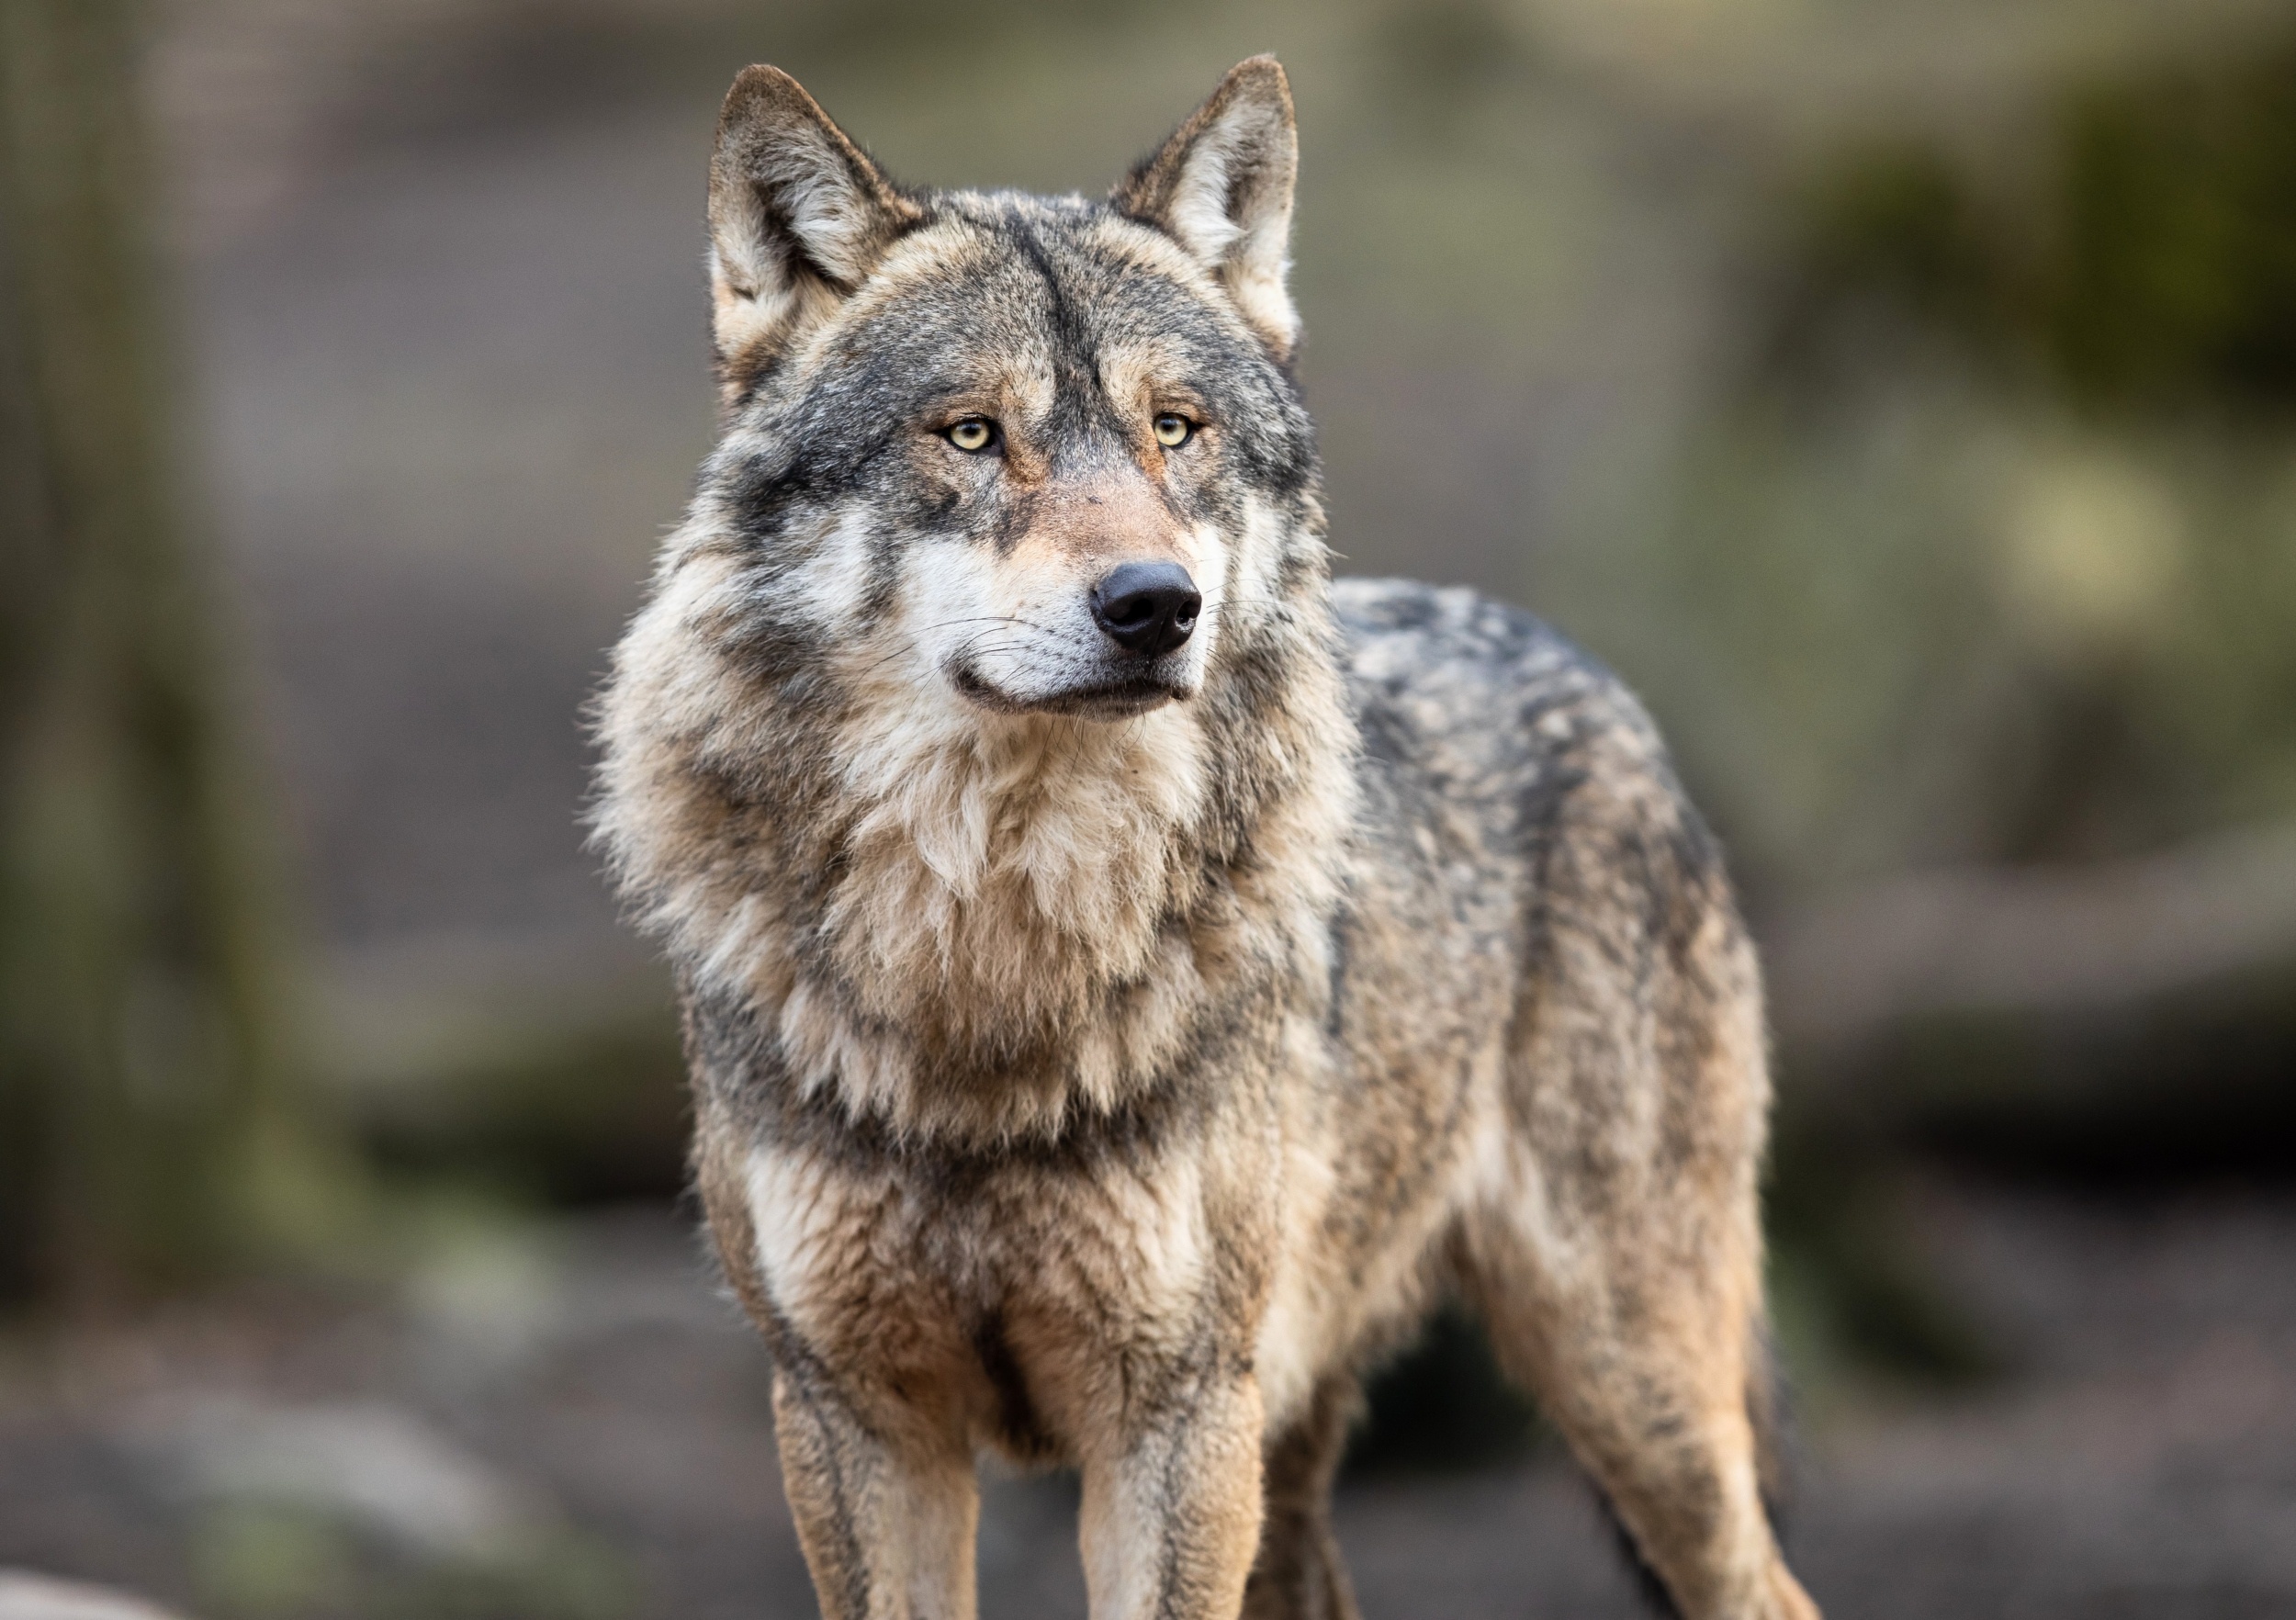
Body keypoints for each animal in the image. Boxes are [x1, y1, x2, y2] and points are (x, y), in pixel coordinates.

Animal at [592, 55, 1819, 1620]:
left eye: (1174, 429)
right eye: (972, 432)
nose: (1154, 605)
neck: (992, 963)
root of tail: (1586, 671)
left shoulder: (1171, 1417)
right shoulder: (849, 1414)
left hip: (1626, 1392)